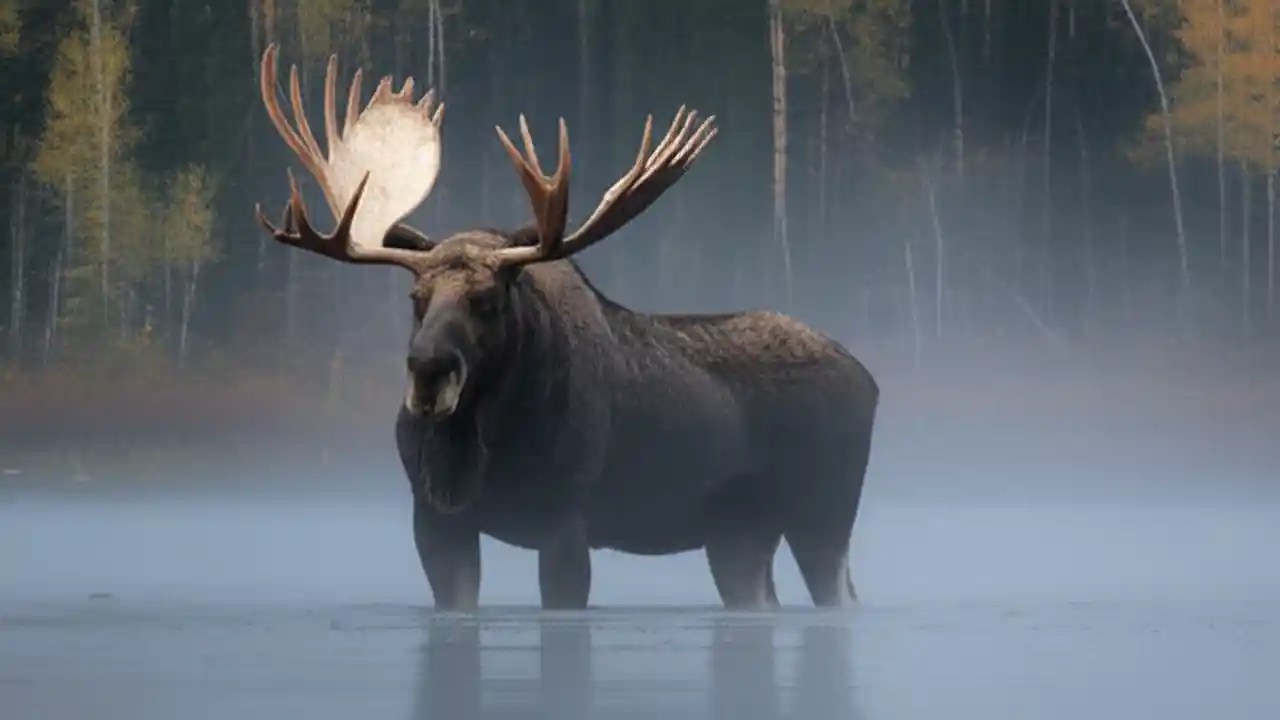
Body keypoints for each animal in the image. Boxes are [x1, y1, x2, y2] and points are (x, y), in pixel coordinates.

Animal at [253, 44, 879, 611]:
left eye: (488, 300)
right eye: (415, 298)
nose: (429, 373)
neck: (480, 448)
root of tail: (869, 380)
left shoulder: (565, 521)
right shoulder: (434, 520)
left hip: (823, 515)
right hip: (738, 533)